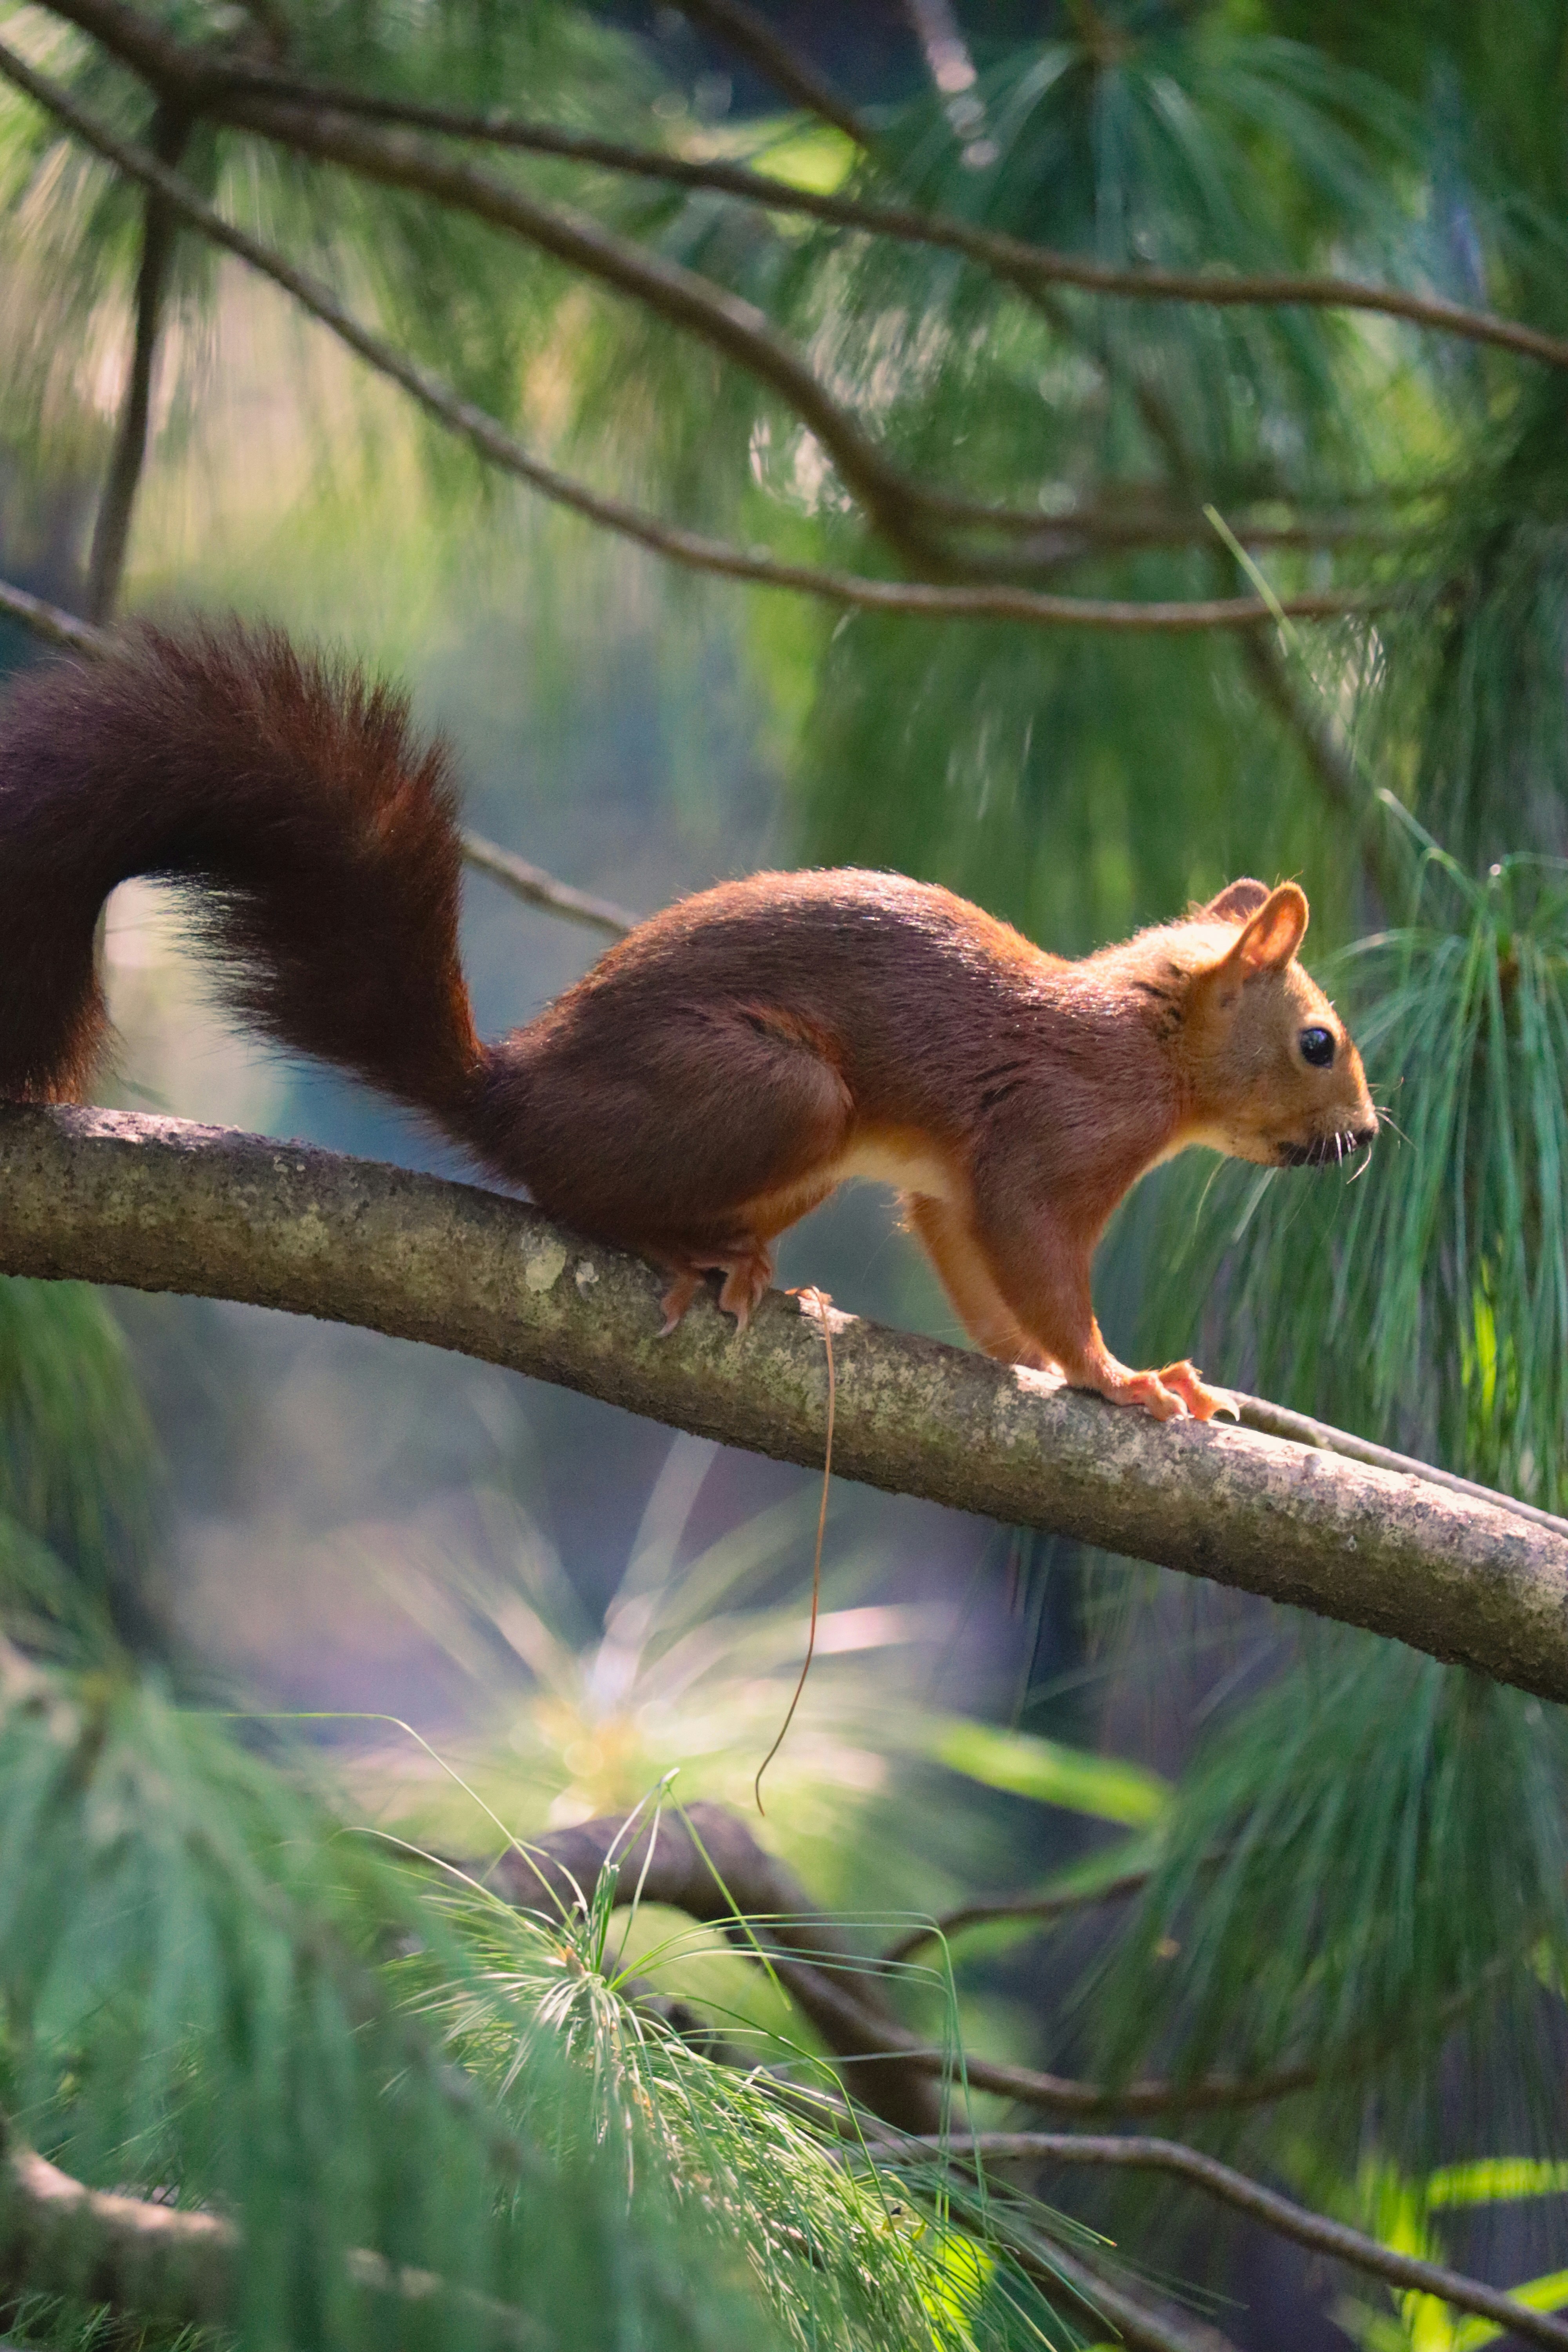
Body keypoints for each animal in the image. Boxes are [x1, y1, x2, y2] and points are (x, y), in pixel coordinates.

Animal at [0, 620, 1376, 1421]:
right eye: (1319, 1042)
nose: (1368, 1136)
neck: (1148, 1043)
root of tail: (513, 1091)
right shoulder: (1046, 1144)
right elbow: (1039, 1265)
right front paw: (1117, 1375)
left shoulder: (946, 1189)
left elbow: (976, 1279)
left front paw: (1044, 1368)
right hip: (782, 1096)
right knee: (573, 1198)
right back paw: (687, 1251)